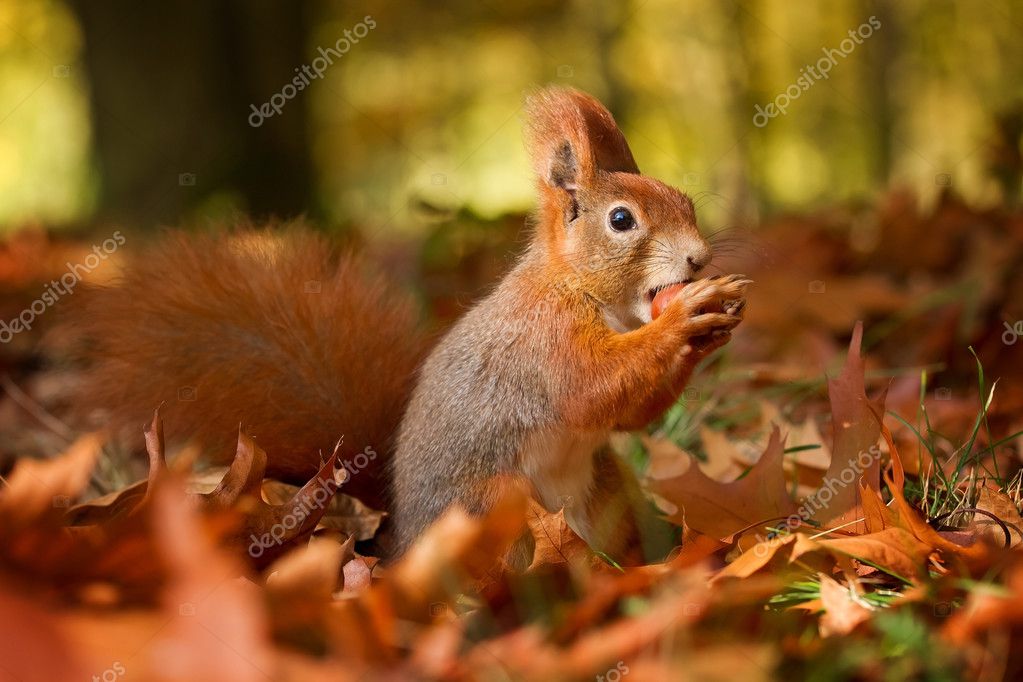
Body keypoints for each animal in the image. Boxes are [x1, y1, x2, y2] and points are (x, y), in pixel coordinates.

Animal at [64, 87, 748, 561]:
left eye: (684, 202)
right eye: (621, 221)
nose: (698, 258)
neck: (578, 287)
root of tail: (401, 538)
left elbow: (626, 410)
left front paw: (712, 324)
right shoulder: (544, 340)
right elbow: (593, 385)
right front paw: (685, 321)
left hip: (606, 491)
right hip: (492, 507)